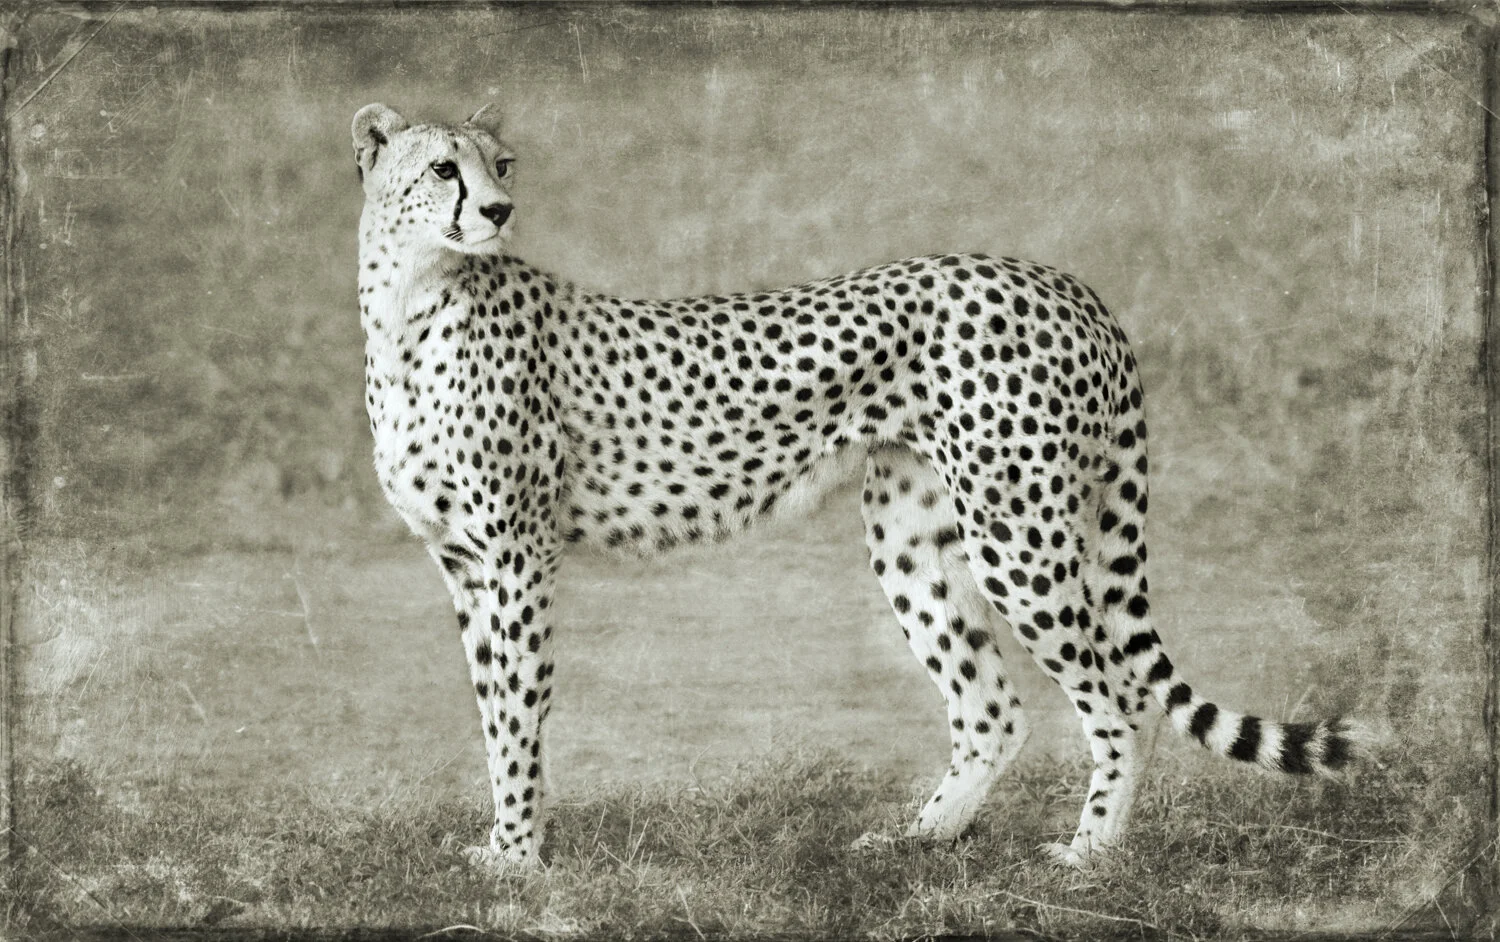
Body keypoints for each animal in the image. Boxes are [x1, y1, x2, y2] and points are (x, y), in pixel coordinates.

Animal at [351, 102, 1359, 871]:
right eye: (441, 167)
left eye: (501, 163)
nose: (498, 207)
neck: (410, 307)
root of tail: (1066, 283)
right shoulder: (464, 563)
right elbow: (495, 711)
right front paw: (503, 842)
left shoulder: (518, 556)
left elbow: (521, 712)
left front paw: (520, 858)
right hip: (917, 540)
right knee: (992, 710)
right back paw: (920, 839)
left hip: (1018, 534)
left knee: (1120, 700)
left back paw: (1091, 855)